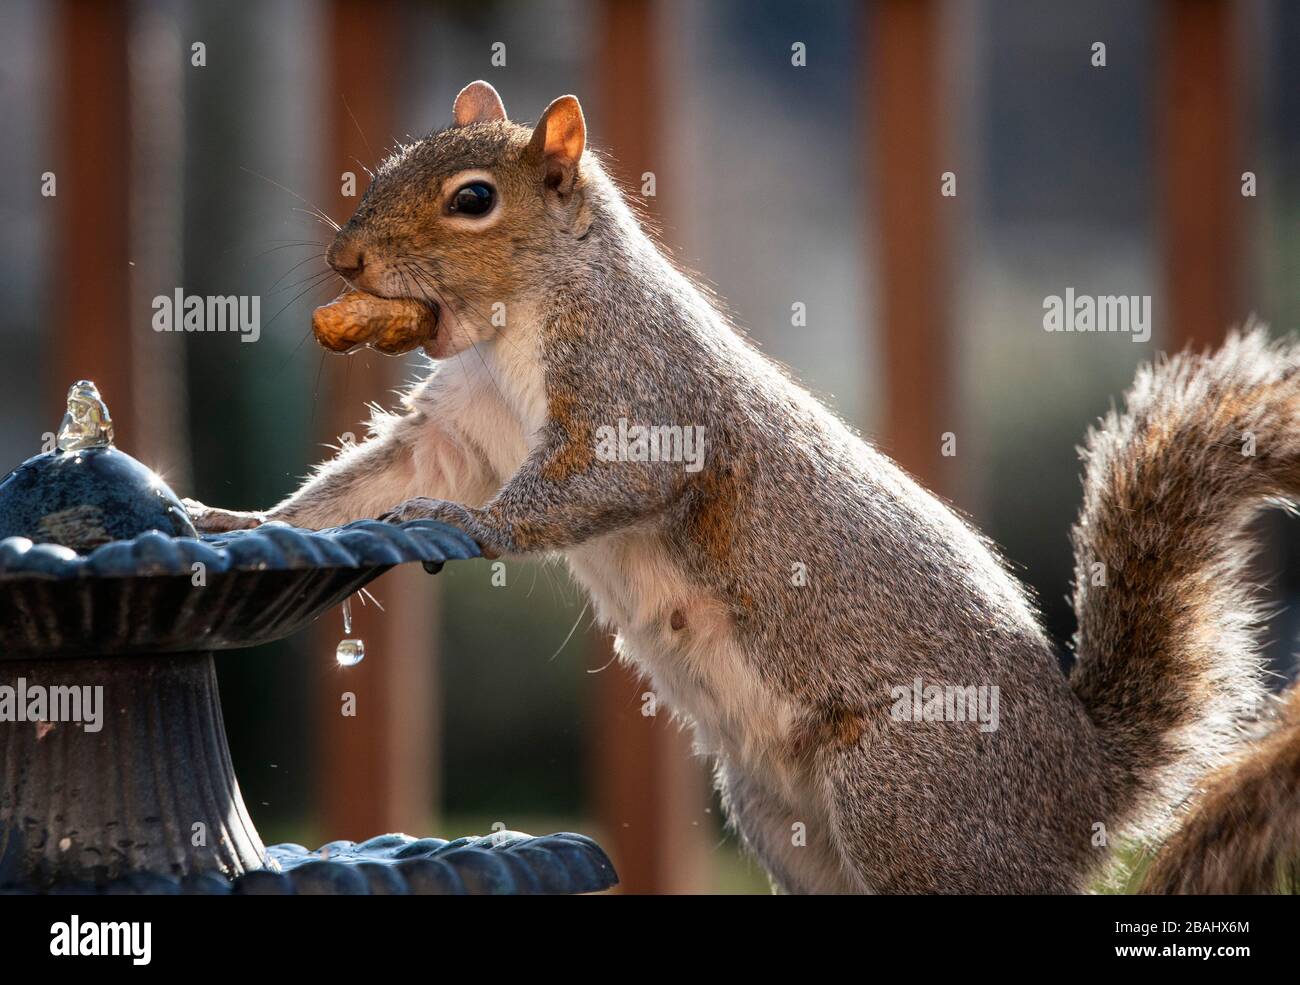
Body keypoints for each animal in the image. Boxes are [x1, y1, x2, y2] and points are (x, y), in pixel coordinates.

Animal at [188, 81, 1300, 894]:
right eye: (384, 168)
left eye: (472, 198)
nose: (344, 259)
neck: (509, 332)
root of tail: (1084, 793)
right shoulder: (461, 425)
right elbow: (358, 488)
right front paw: (236, 520)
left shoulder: (640, 394)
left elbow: (584, 485)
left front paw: (461, 523)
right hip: (784, 819)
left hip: (908, 797)